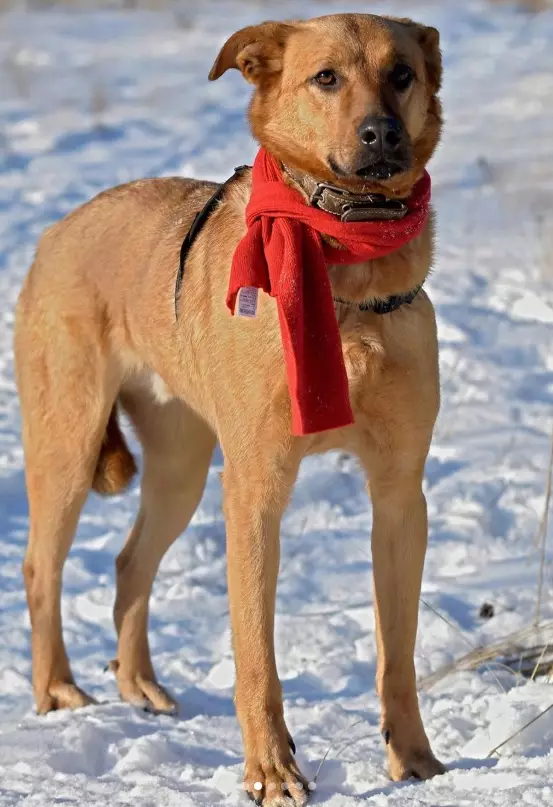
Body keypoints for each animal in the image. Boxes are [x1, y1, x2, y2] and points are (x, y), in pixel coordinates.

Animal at [12, 14, 444, 807]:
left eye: (401, 74)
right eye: (325, 77)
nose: (380, 133)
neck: (345, 266)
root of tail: (58, 229)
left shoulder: (400, 493)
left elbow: (396, 653)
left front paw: (416, 761)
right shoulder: (255, 488)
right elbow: (255, 657)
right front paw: (271, 772)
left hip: (180, 466)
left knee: (129, 562)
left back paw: (140, 686)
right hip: (68, 441)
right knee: (39, 567)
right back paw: (57, 688)